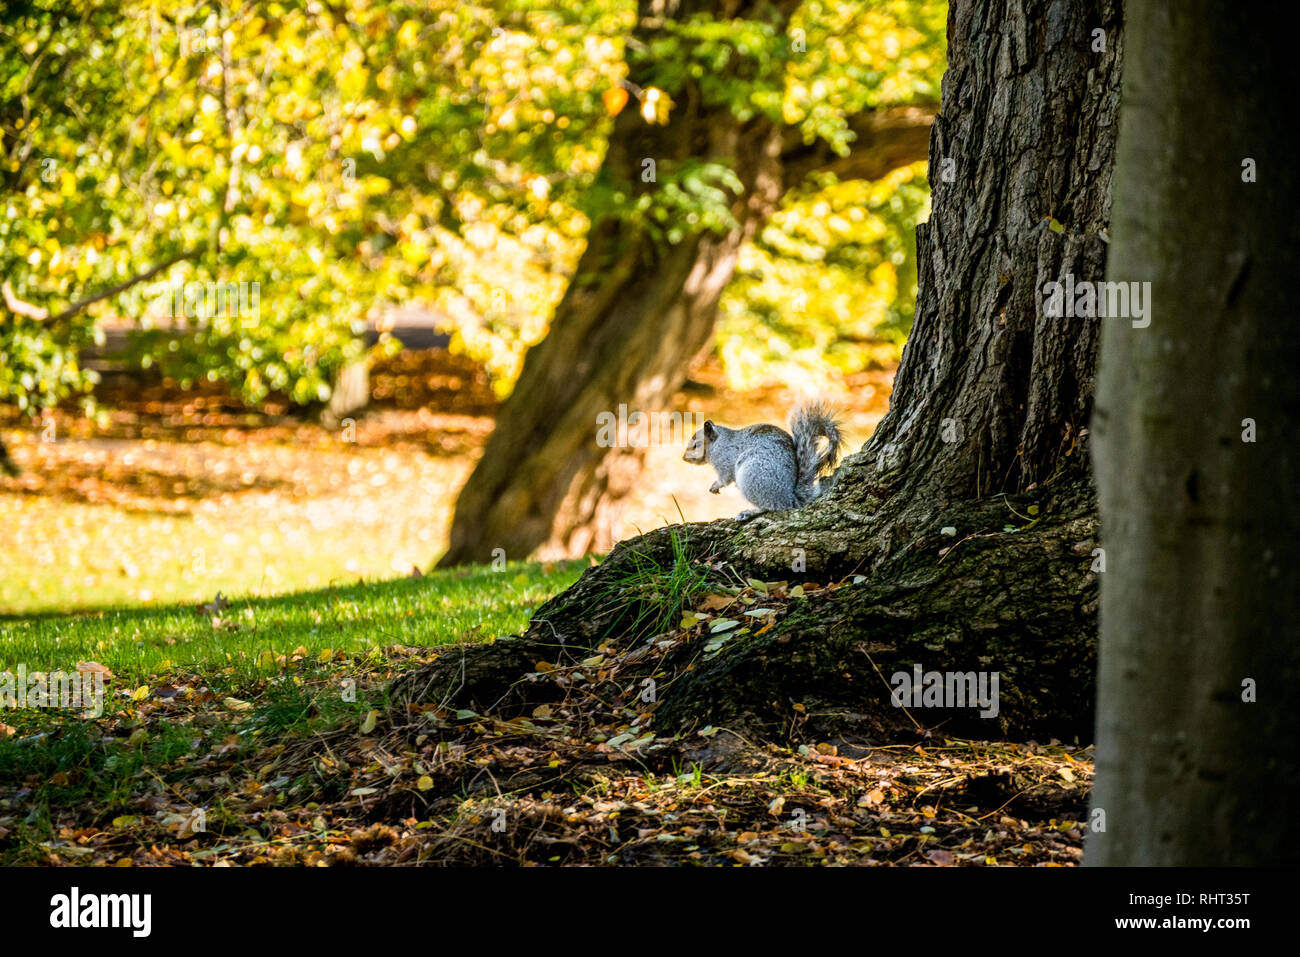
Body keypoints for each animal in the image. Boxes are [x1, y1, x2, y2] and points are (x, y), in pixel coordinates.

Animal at [682, 401, 842, 521]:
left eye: (696, 445)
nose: (683, 458)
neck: (718, 443)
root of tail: (790, 498)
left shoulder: (725, 460)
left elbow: (725, 477)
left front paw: (716, 485)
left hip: (751, 477)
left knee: (769, 507)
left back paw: (749, 512)